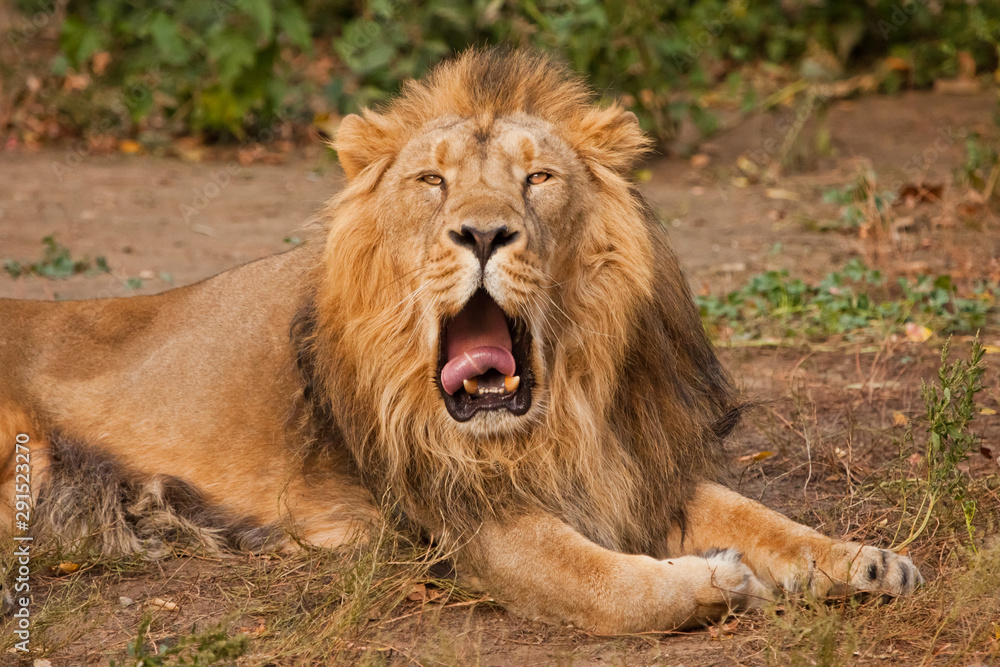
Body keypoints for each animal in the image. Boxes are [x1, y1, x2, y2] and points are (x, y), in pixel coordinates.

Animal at [0, 48, 920, 632]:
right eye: (432, 179)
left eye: (538, 177)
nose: (482, 232)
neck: (560, 412)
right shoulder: (470, 519)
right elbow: (608, 587)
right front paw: (718, 581)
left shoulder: (636, 462)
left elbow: (761, 516)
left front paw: (866, 562)